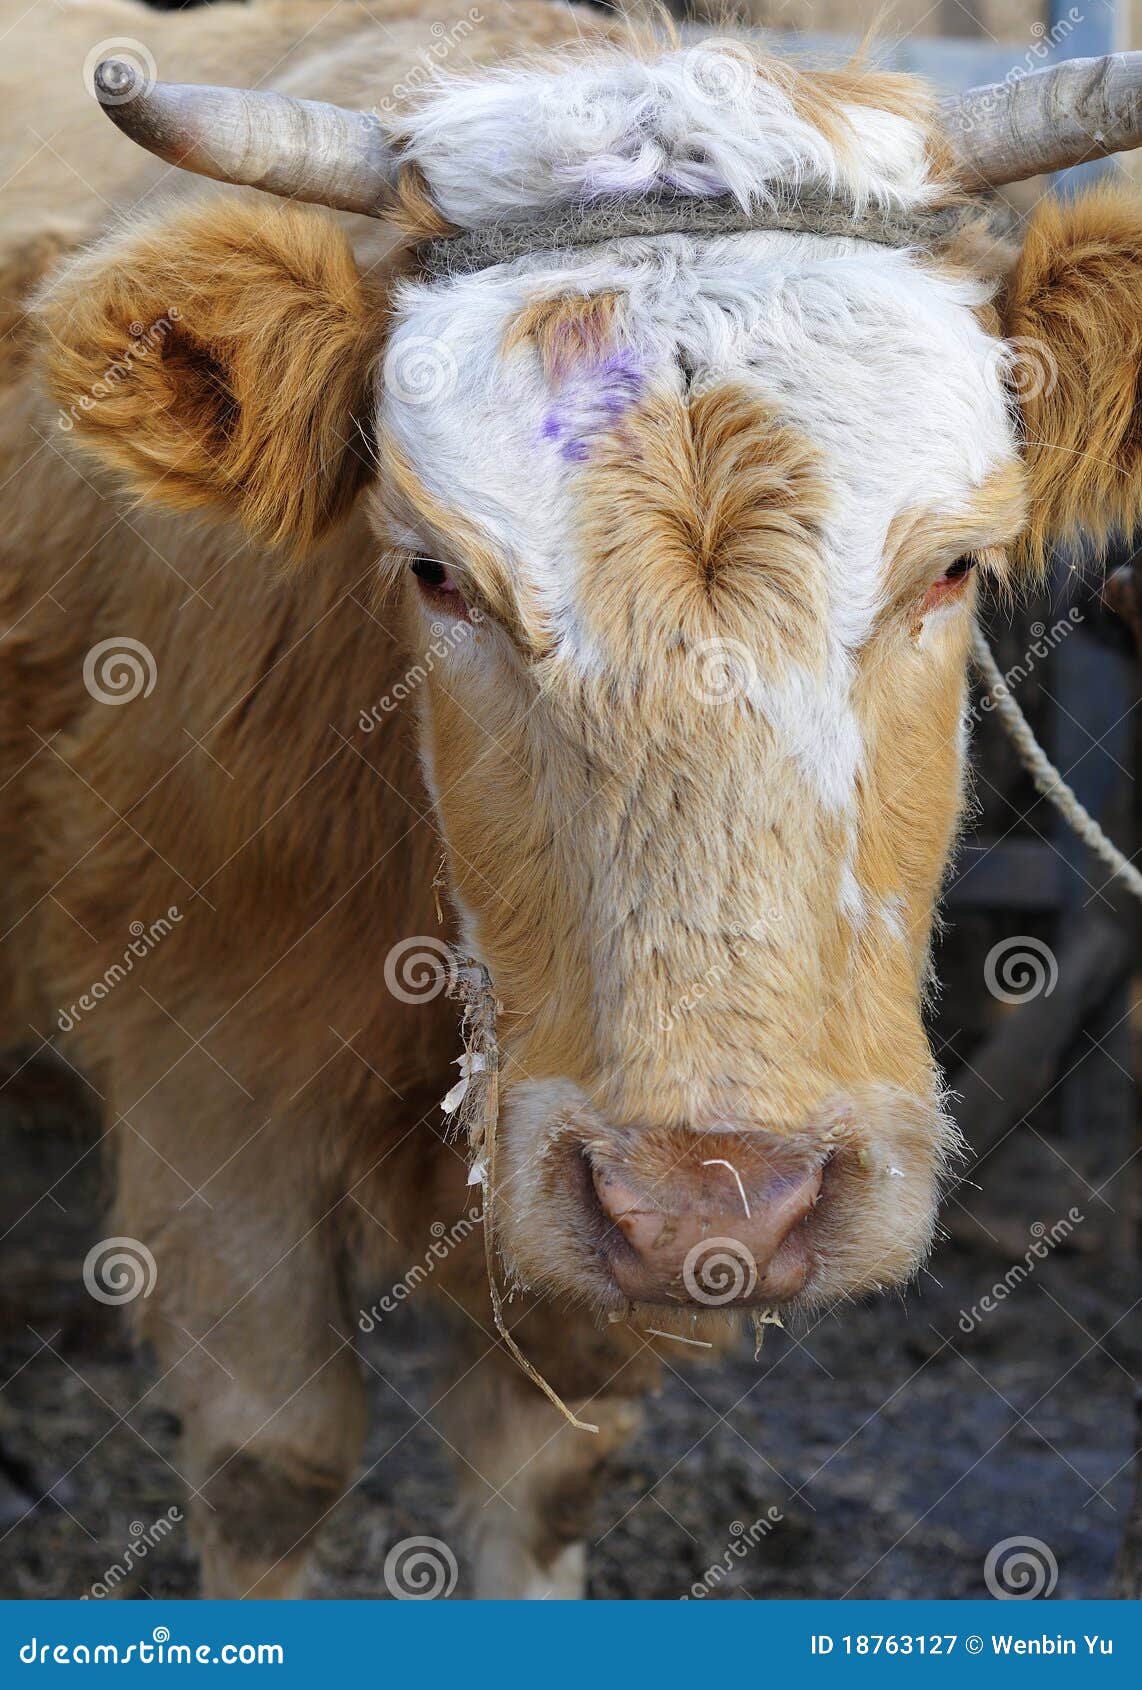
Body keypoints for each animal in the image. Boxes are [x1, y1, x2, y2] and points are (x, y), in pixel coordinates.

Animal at [2, 0, 1141, 1599]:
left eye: (952, 566)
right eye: (435, 571)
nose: (714, 1196)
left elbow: (537, 1478)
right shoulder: (204, 1071)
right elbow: (272, 1464)